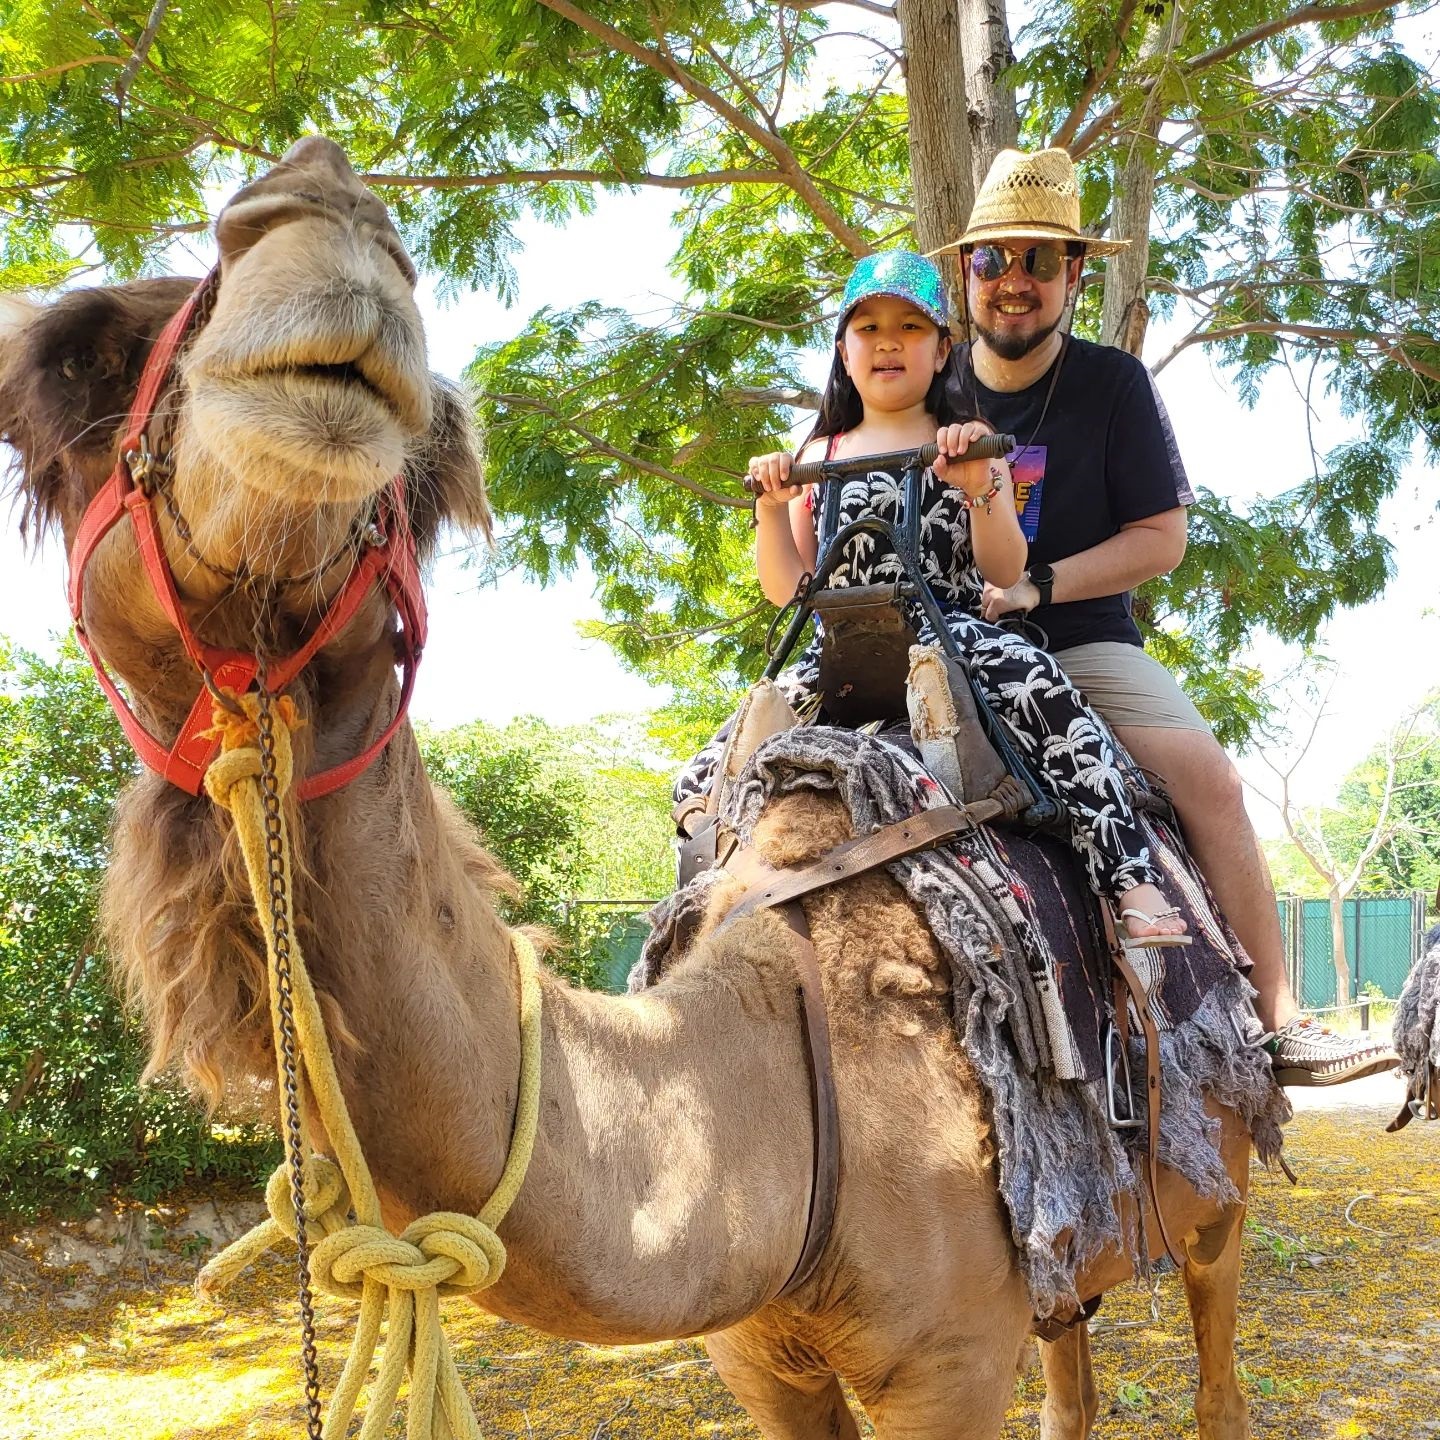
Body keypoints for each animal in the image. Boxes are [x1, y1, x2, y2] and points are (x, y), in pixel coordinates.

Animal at [0, 136, 1260, 1439]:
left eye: (435, 456)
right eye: (70, 367)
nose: (325, 201)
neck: (793, 1075)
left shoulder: (949, 1363)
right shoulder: (764, 1356)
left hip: (1212, 1181)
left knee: (1216, 1340)